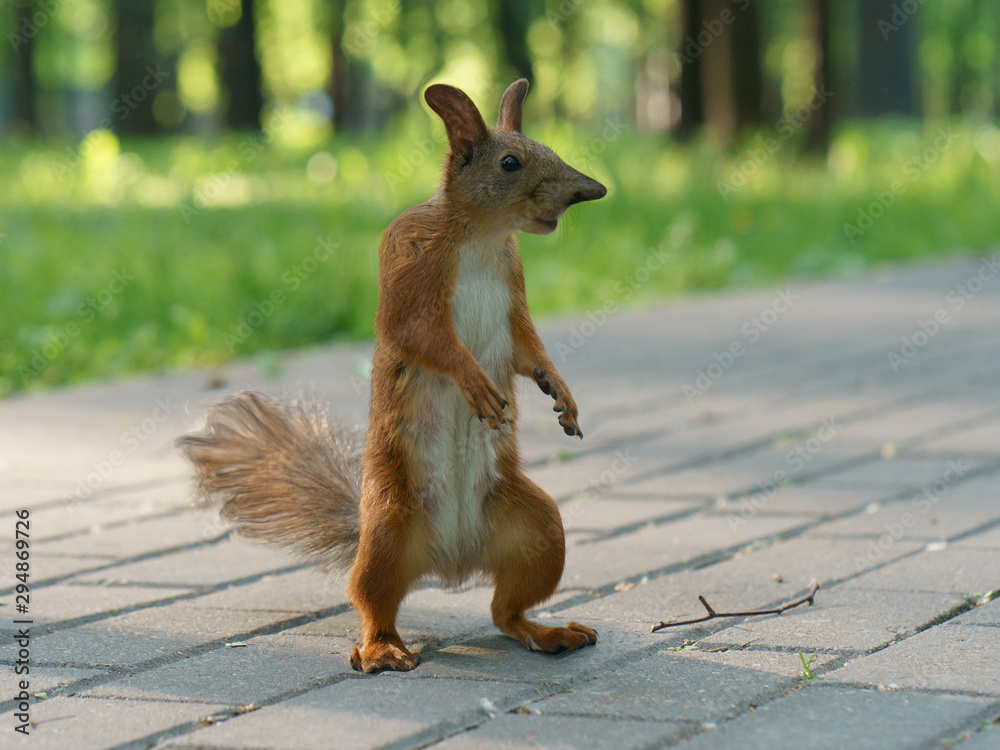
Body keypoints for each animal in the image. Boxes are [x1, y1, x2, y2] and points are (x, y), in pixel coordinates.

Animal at [177, 79, 607, 673]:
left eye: (547, 148)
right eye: (511, 163)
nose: (585, 193)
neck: (482, 237)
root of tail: (451, 562)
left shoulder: (514, 292)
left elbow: (528, 350)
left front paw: (560, 391)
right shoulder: (410, 260)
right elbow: (420, 337)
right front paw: (475, 382)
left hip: (539, 529)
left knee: (505, 610)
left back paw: (547, 631)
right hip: (387, 527)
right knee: (372, 601)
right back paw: (383, 649)